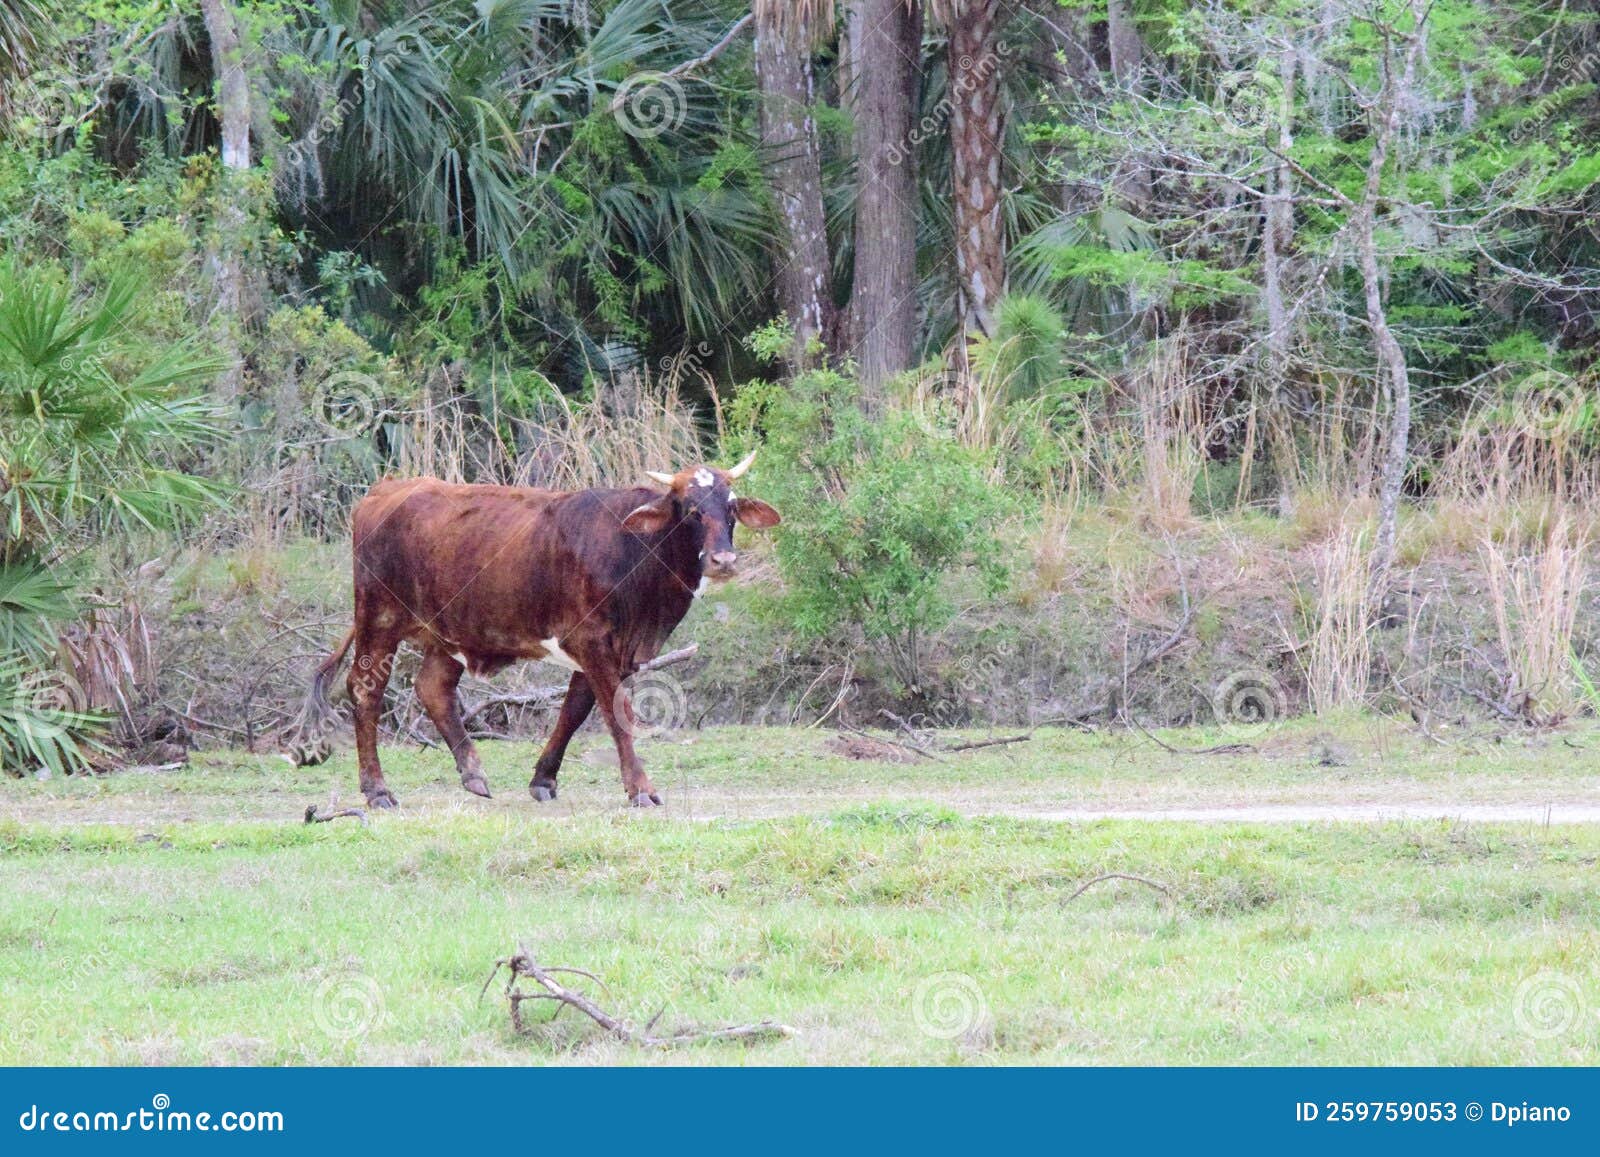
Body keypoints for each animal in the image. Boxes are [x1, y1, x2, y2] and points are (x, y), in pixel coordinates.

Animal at [306, 452, 780, 809]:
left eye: (731, 507)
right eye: (691, 510)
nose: (723, 560)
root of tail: (386, 489)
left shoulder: (609, 649)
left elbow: (575, 711)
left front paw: (543, 779)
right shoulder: (590, 639)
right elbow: (617, 714)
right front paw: (641, 789)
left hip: (451, 630)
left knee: (433, 688)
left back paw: (473, 773)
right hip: (379, 620)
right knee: (365, 691)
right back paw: (377, 790)